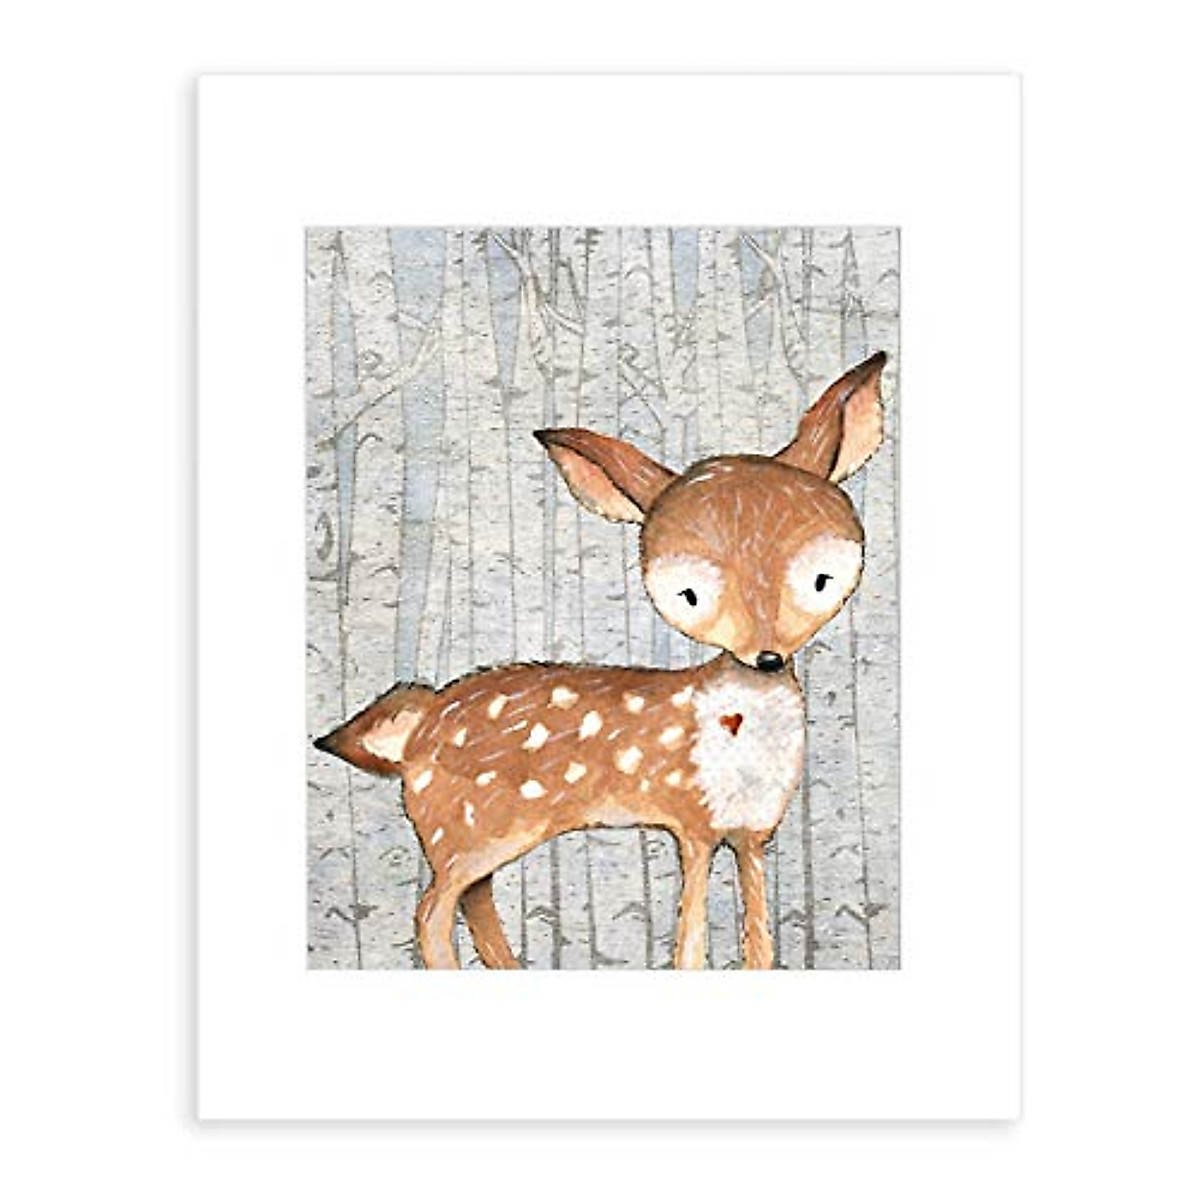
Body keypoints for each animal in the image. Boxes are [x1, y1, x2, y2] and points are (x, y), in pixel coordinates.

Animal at [315, 351, 888, 969]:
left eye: (821, 580)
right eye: (689, 595)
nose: (768, 657)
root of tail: (417, 728)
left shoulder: (753, 831)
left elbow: (758, 931)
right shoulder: (691, 818)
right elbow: (691, 933)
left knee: (471, 899)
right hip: (468, 827)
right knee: (431, 909)